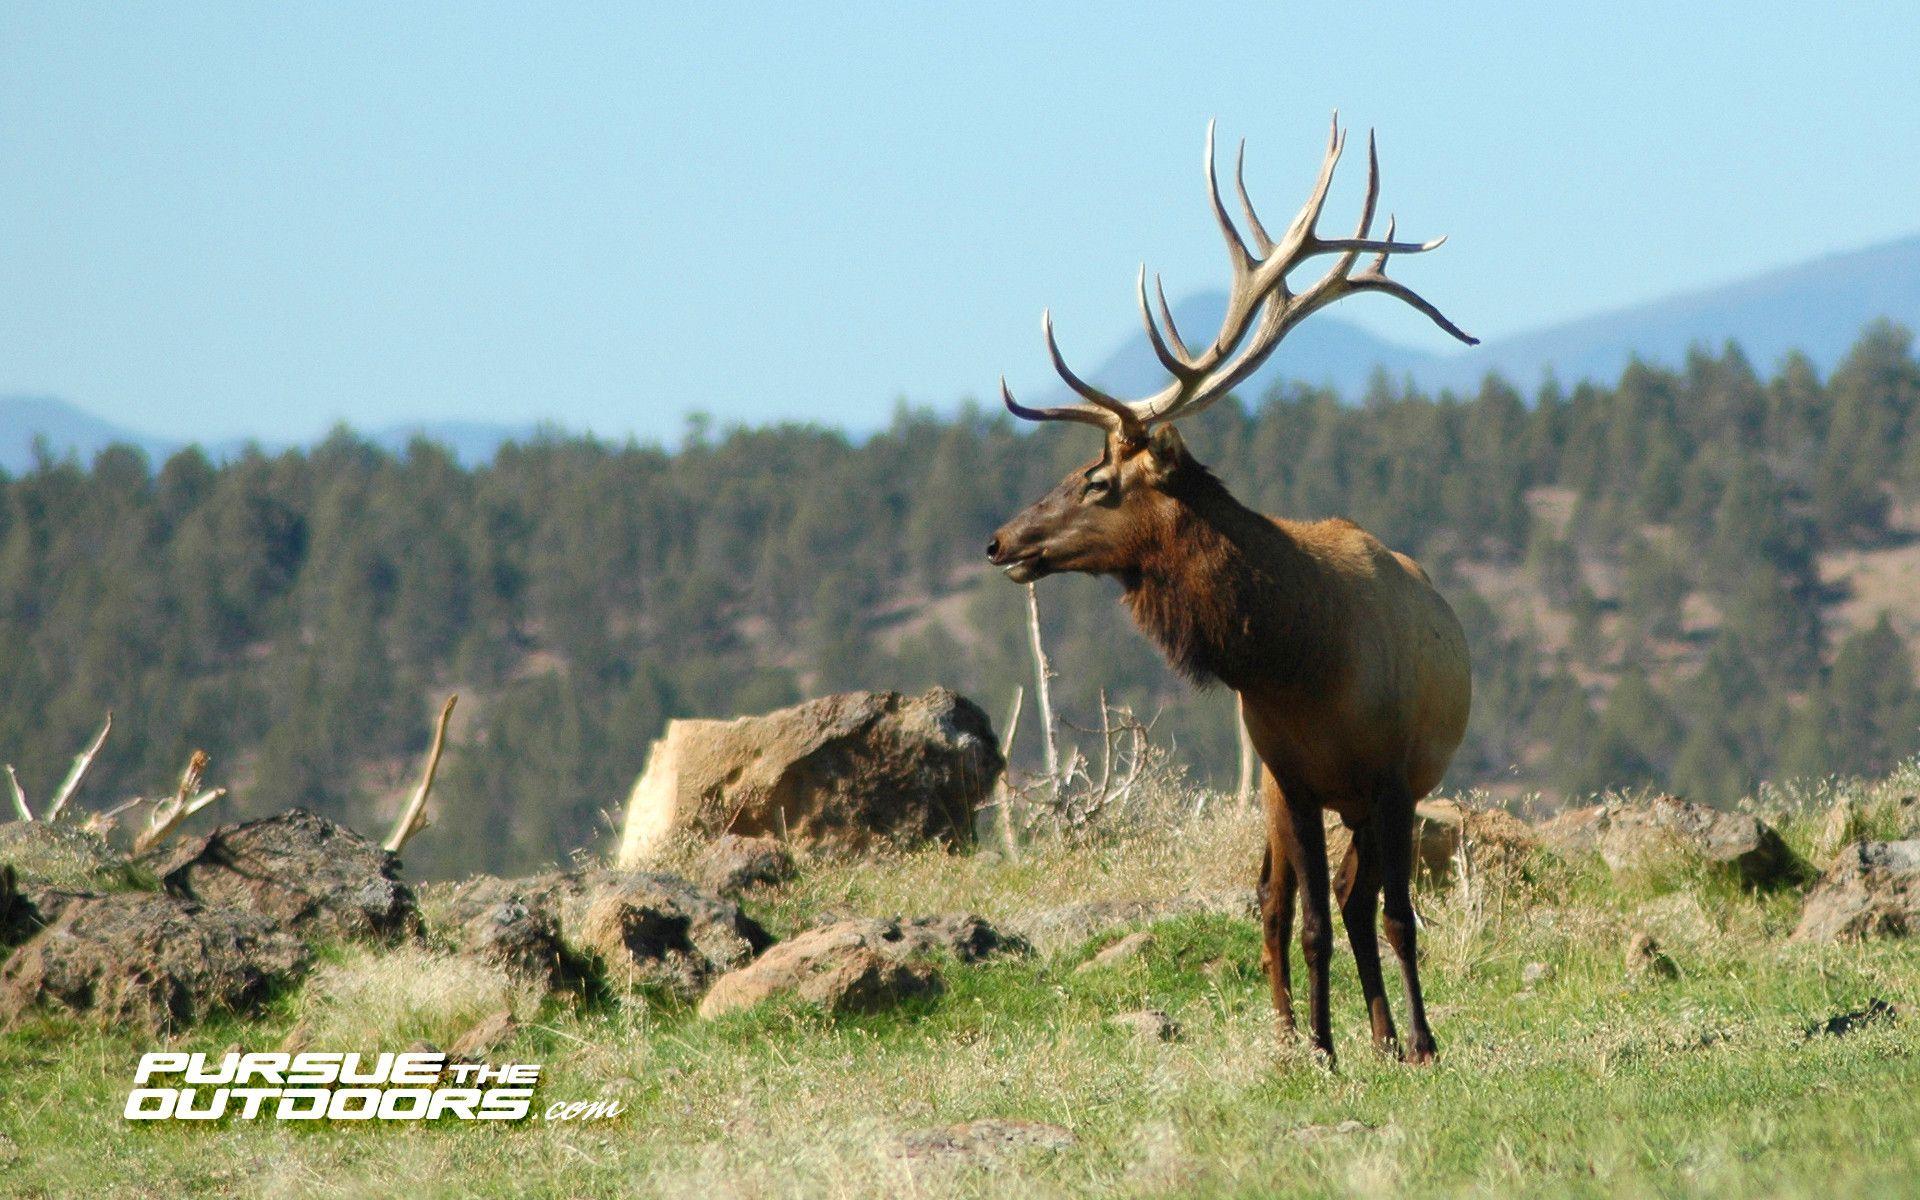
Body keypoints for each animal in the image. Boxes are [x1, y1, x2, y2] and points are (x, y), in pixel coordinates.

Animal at [986, 116, 1475, 1065]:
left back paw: (1389, 1036)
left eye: (1098, 481)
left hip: (1375, 799)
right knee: (1286, 902)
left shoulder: (1392, 776)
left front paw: (1422, 1041)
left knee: (1362, 903)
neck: (1303, 661)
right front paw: (1320, 1049)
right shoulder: (1290, 776)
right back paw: (1304, 1033)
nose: (1000, 541)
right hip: (1298, 802)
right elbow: (1311, 919)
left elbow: (1399, 917)